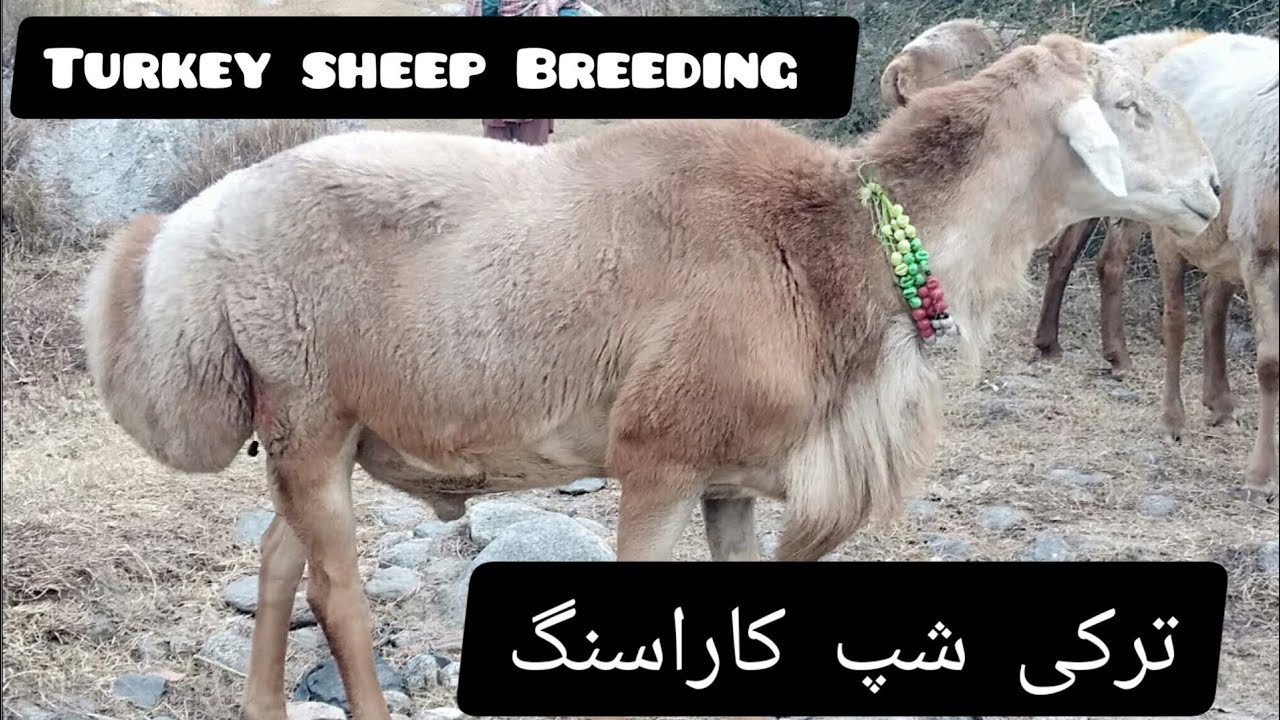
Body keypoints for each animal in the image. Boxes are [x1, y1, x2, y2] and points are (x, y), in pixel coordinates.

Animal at [80, 34, 1219, 720]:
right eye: (1127, 106)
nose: (1214, 188)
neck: (838, 251)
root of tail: (190, 228)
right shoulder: (658, 462)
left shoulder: (729, 483)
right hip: (309, 406)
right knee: (336, 587)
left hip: (328, 425)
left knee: (279, 561)